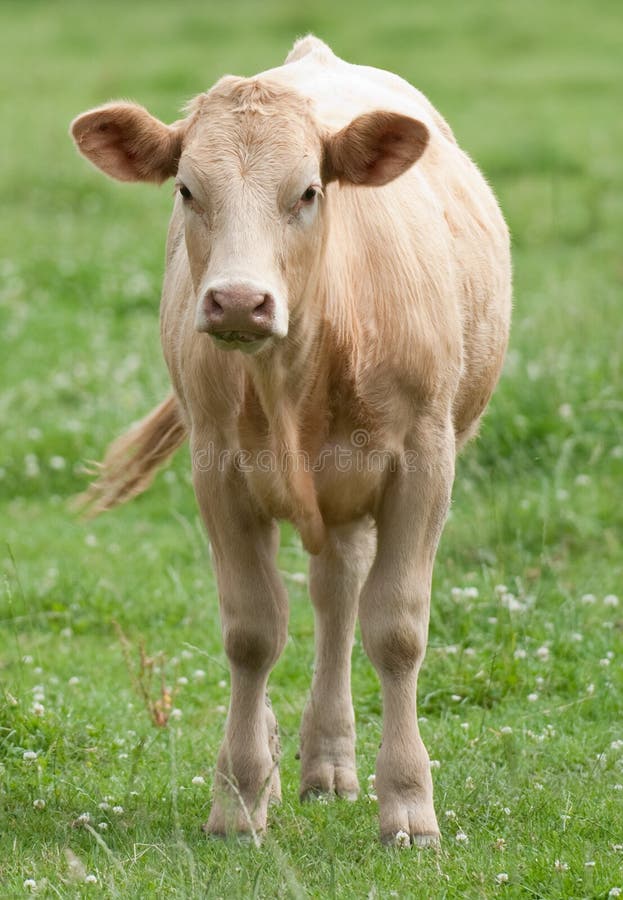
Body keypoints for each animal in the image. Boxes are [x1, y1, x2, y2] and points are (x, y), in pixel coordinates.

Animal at [70, 36, 511, 846]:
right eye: (186, 190)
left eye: (307, 192)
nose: (240, 301)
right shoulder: (217, 470)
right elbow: (252, 630)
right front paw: (240, 794)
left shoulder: (424, 463)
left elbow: (396, 629)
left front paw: (408, 804)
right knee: (324, 596)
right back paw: (297, 762)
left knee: (340, 600)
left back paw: (330, 760)